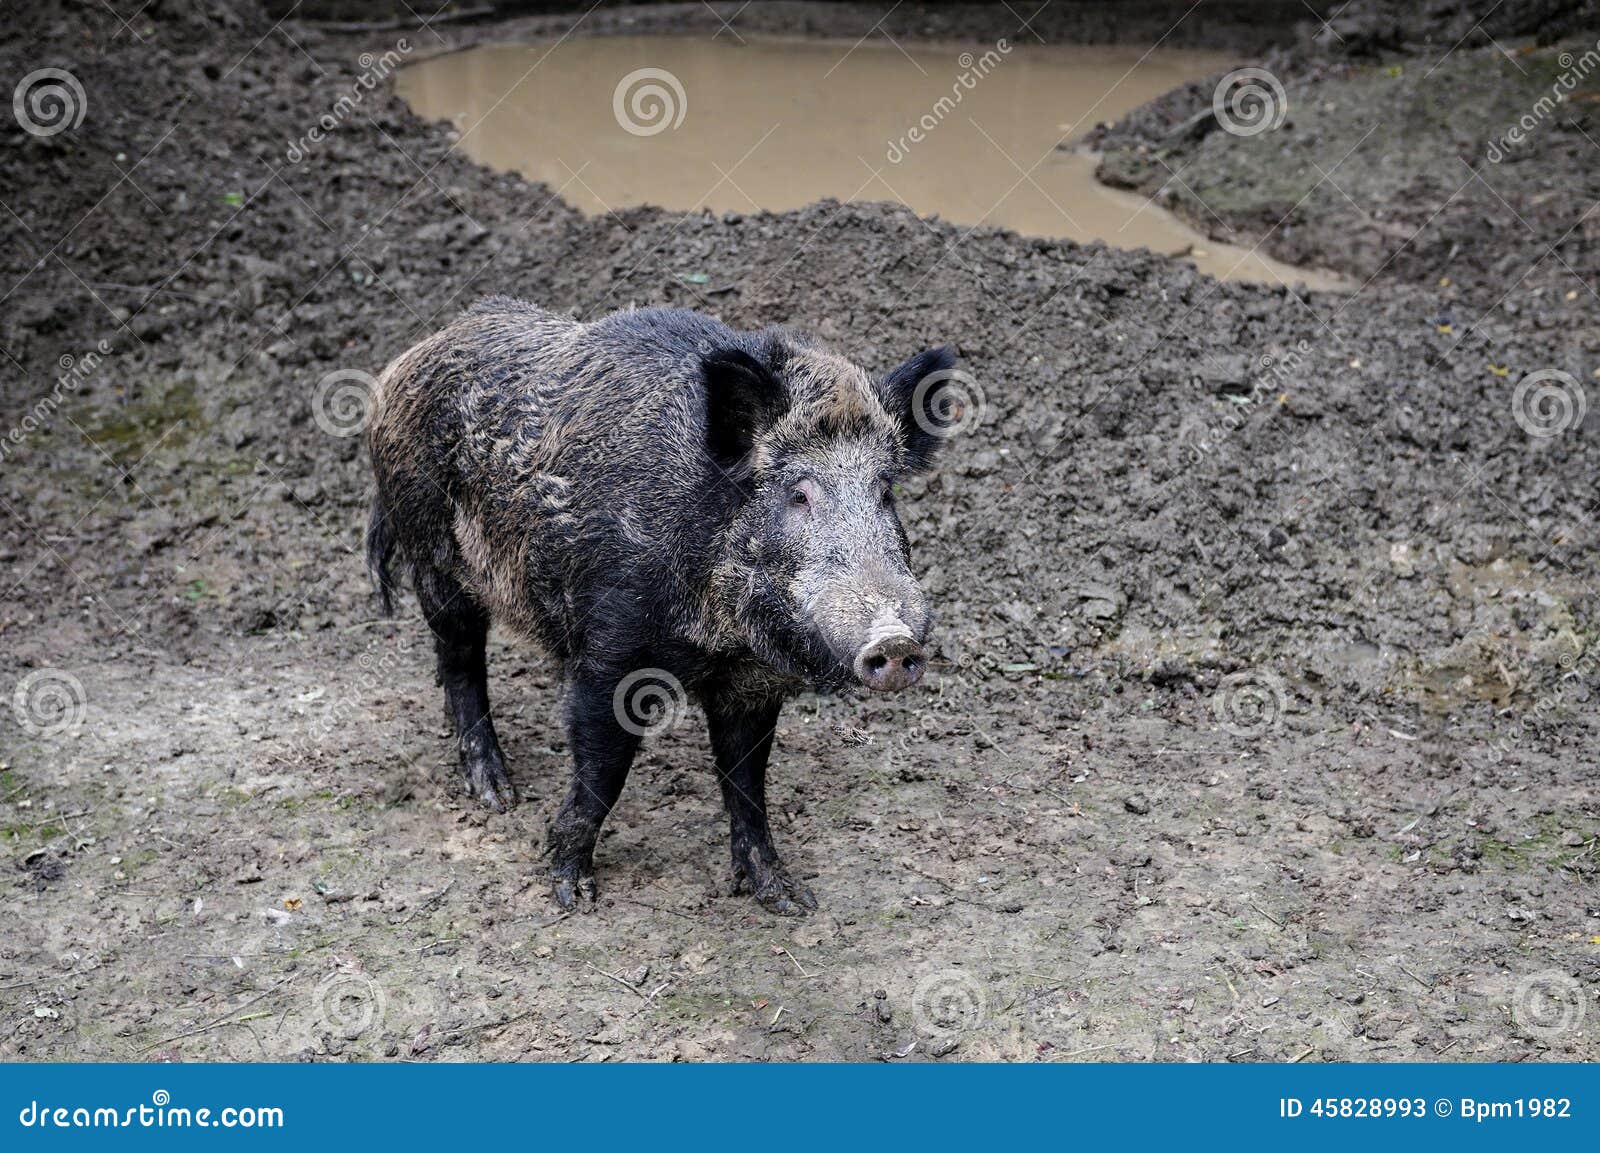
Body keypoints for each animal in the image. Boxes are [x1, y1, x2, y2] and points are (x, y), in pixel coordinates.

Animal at [365, 297, 959, 914]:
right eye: (798, 493)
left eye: (885, 492)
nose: (895, 640)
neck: (716, 634)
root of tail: (409, 358)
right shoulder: (609, 656)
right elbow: (604, 773)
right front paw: (572, 894)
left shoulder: (751, 683)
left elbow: (747, 784)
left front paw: (788, 899)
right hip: (431, 552)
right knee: (459, 659)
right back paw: (496, 795)